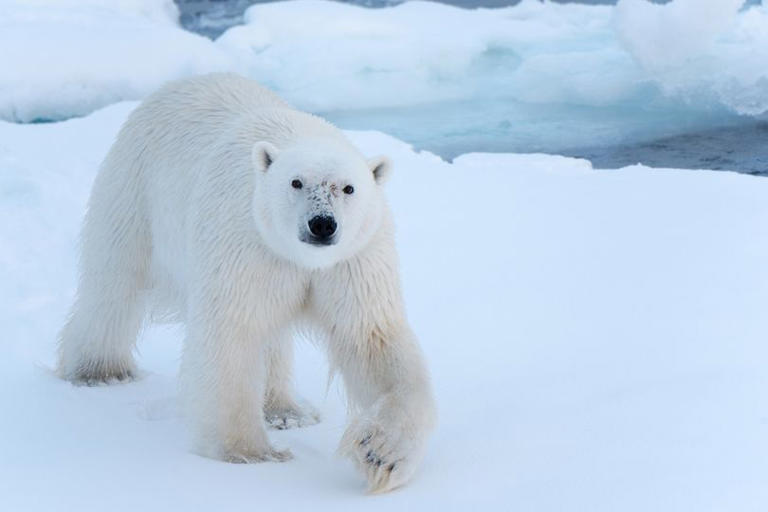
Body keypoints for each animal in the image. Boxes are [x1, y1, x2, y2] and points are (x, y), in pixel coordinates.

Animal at [57, 73, 436, 493]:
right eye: (296, 182)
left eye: (348, 188)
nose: (322, 224)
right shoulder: (247, 242)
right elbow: (232, 333)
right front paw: (249, 453)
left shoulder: (353, 260)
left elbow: (371, 338)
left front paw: (381, 453)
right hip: (136, 187)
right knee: (114, 280)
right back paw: (99, 371)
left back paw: (286, 410)